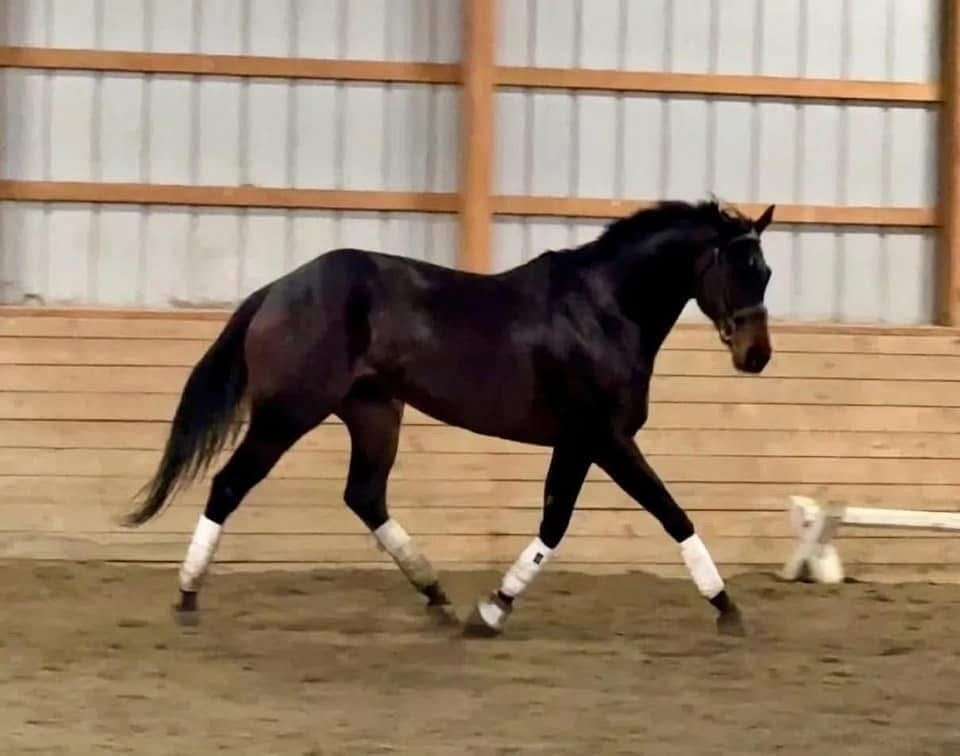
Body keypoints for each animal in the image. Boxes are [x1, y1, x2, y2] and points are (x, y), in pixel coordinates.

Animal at [124, 199, 775, 638]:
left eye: (765, 272)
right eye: (737, 269)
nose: (757, 357)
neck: (603, 311)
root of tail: (278, 290)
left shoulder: (579, 443)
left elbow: (562, 522)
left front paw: (489, 608)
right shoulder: (603, 438)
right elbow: (663, 514)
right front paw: (727, 606)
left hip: (374, 414)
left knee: (365, 496)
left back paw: (435, 595)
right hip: (287, 415)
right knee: (230, 485)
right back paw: (187, 595)